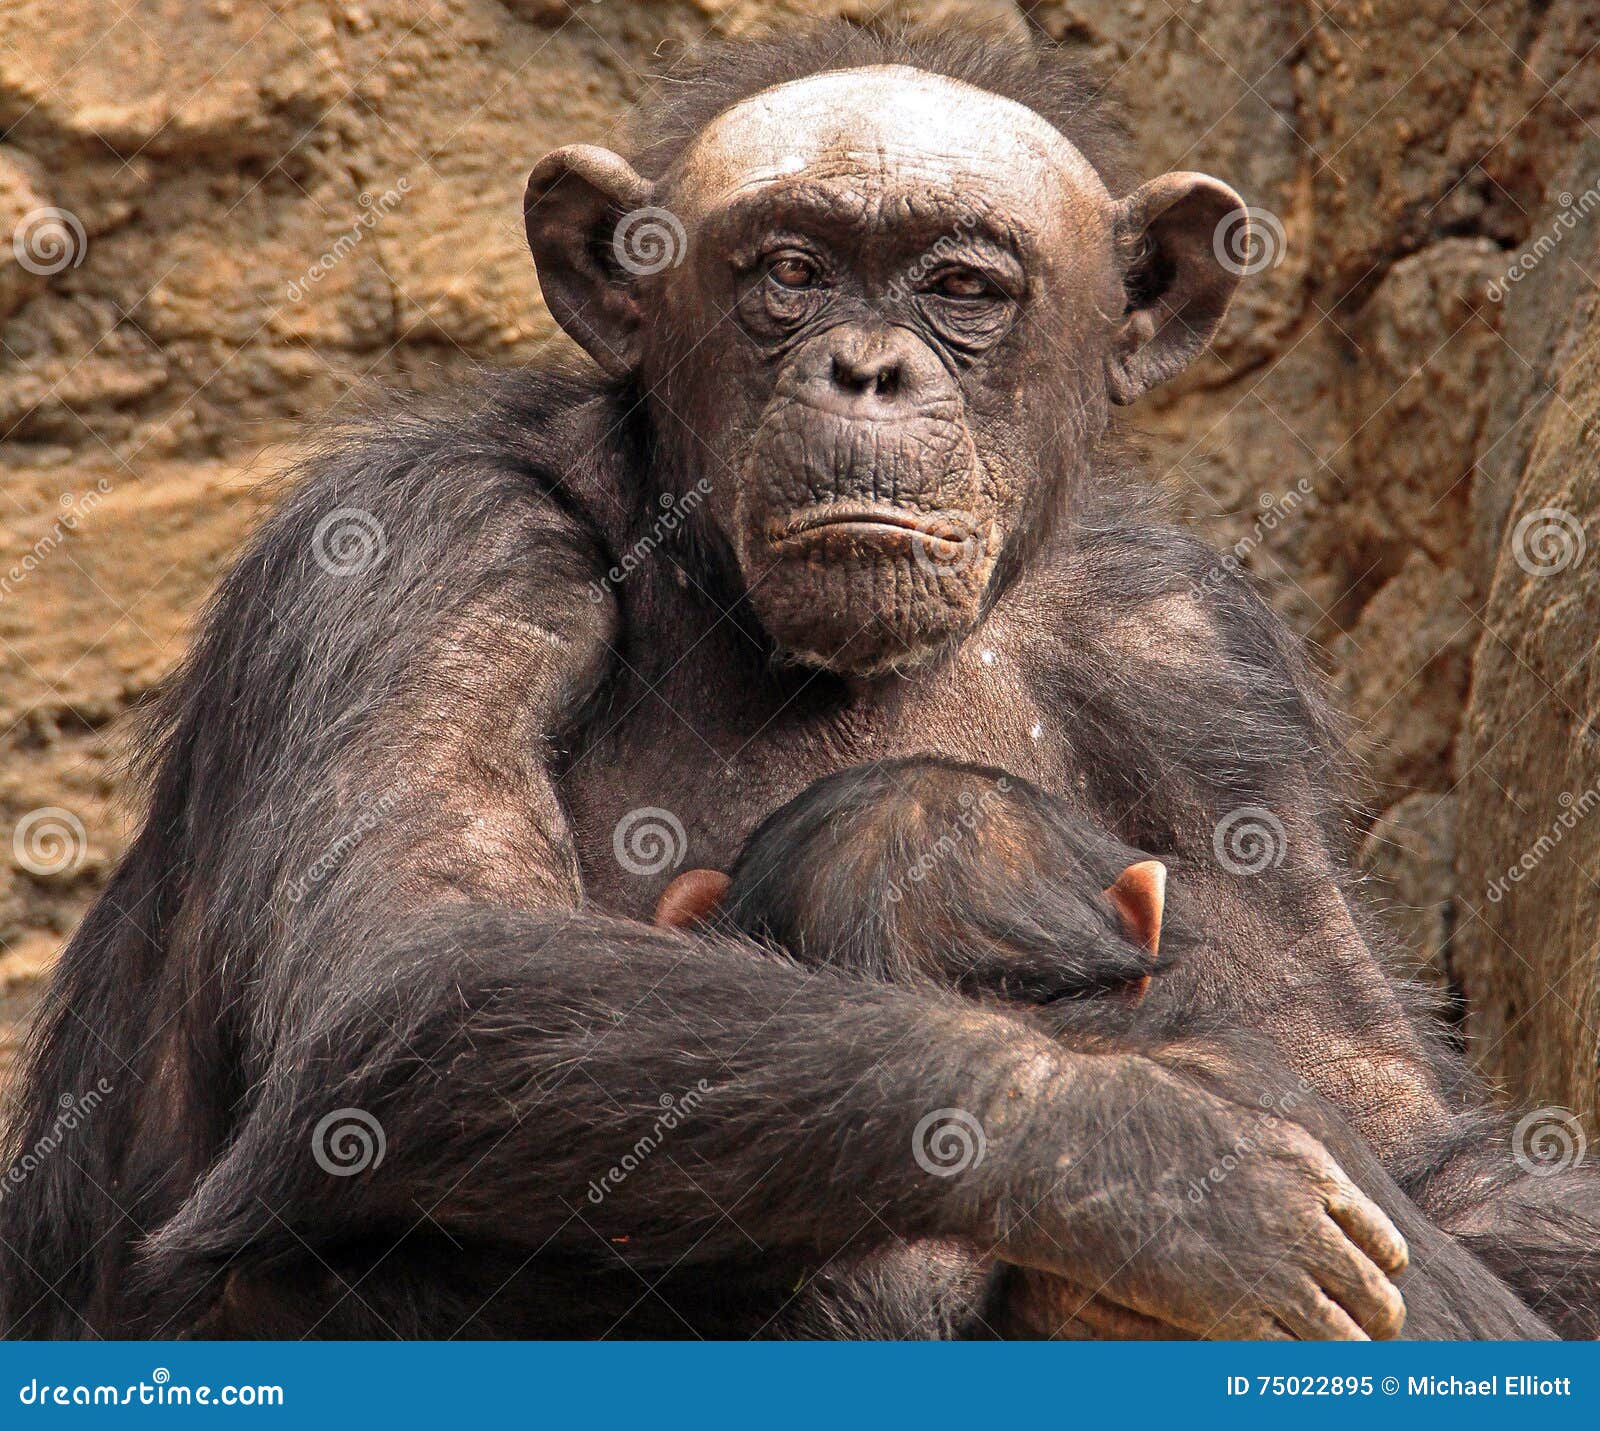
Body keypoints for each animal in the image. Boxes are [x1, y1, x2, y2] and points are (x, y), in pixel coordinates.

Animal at [3, 24, 1595, 1341]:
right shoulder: (422, 539)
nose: (871, 368)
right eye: (790, 270)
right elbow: (412, 953)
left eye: (962, 286)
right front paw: (1144, 1161)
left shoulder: (1193, 667)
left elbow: (1393, 1117)